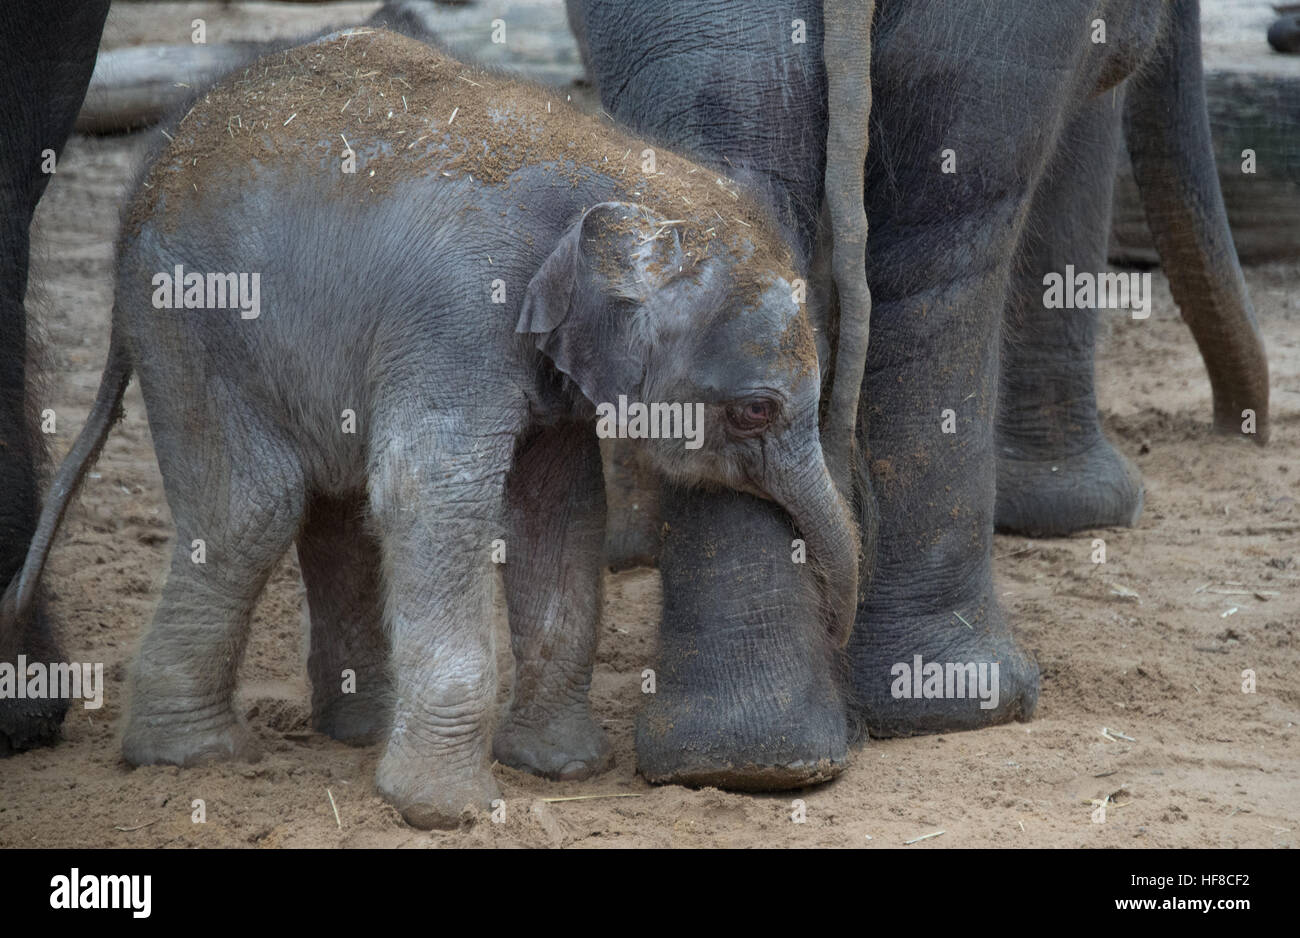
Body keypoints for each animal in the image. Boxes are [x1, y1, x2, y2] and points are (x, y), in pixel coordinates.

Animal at [0, 28, 861, 829]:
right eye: (755, 410)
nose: (838, 640)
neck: (619, 171)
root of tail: (146, 177)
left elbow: (560, 515)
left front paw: (560, 767)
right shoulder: (458, 312)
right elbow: (431, 496)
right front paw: (450, 811)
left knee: (334, 506)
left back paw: (357, 731)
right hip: (190, 325)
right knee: (251, 509)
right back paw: (193, 756)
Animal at [567, 0, 1270, 786]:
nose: (1243, 425)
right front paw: (1091, 510)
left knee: (739, 130)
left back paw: (751, 757)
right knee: (956, 201)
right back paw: (959, 706)